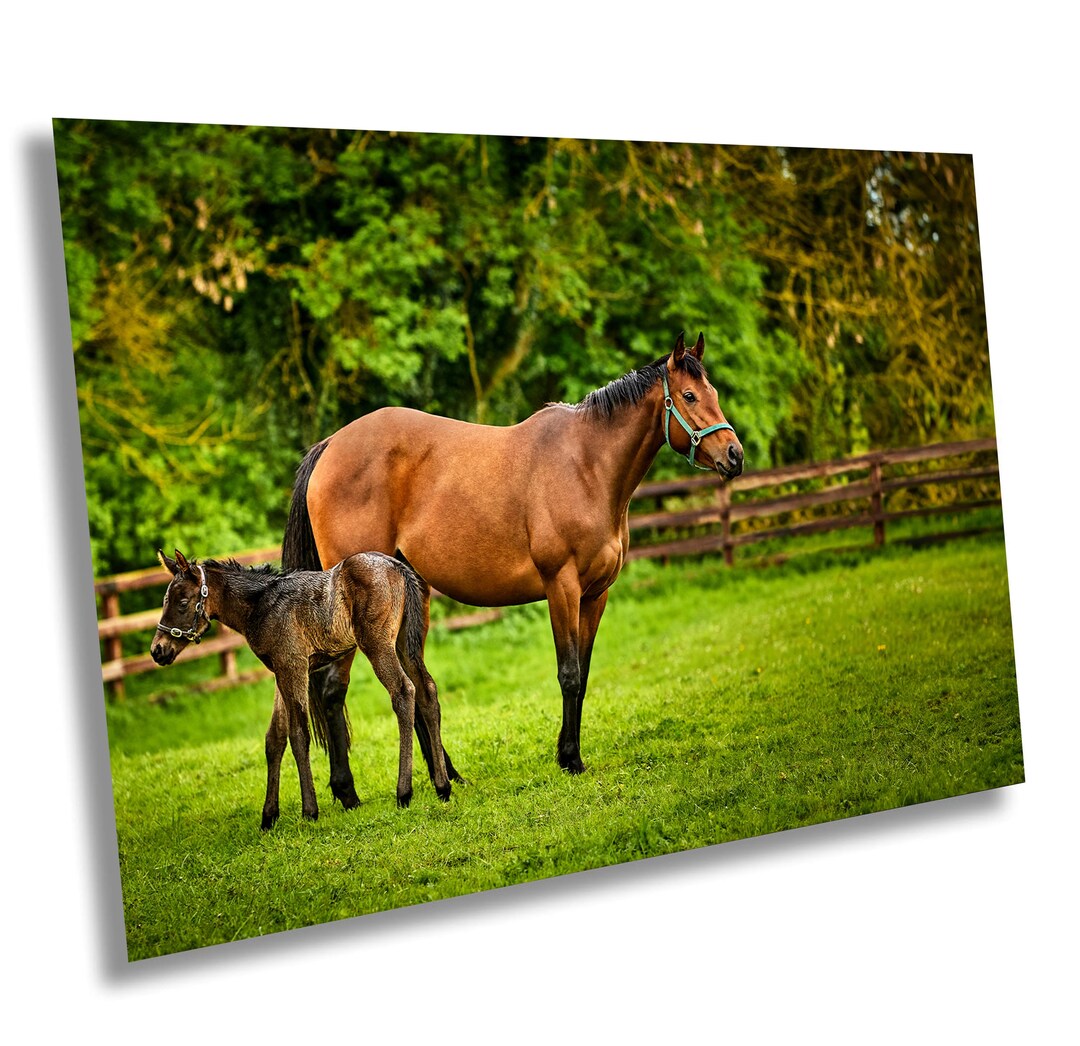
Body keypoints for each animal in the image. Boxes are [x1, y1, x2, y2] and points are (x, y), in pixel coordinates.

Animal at [149, 548, 452, 829]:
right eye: (165, 601)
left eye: (182, 602)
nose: (158, 650)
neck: (261, 605)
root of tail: (396, 565)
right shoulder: (280, 671)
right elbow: (274, 738)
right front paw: (268, 817)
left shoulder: (292, 665)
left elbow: (298, 734)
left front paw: (309, 812)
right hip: (404, 642)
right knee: (427, 690)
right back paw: (443, 786)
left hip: (377, 643)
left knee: (403, 691)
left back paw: (404, 793)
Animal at [281, 330, 743, 806]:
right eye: (688, 396)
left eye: (713, 393)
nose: (735, 455)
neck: (587, 465)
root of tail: (330, 447)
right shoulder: (562, 587)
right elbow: (569, 674)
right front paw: (570, 760)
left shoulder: (596, 594)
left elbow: (584, 672)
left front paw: (568, 753)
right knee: (333, 689)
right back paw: (348, 792)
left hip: (409, 598)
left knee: (414, 685)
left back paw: (445, 777)